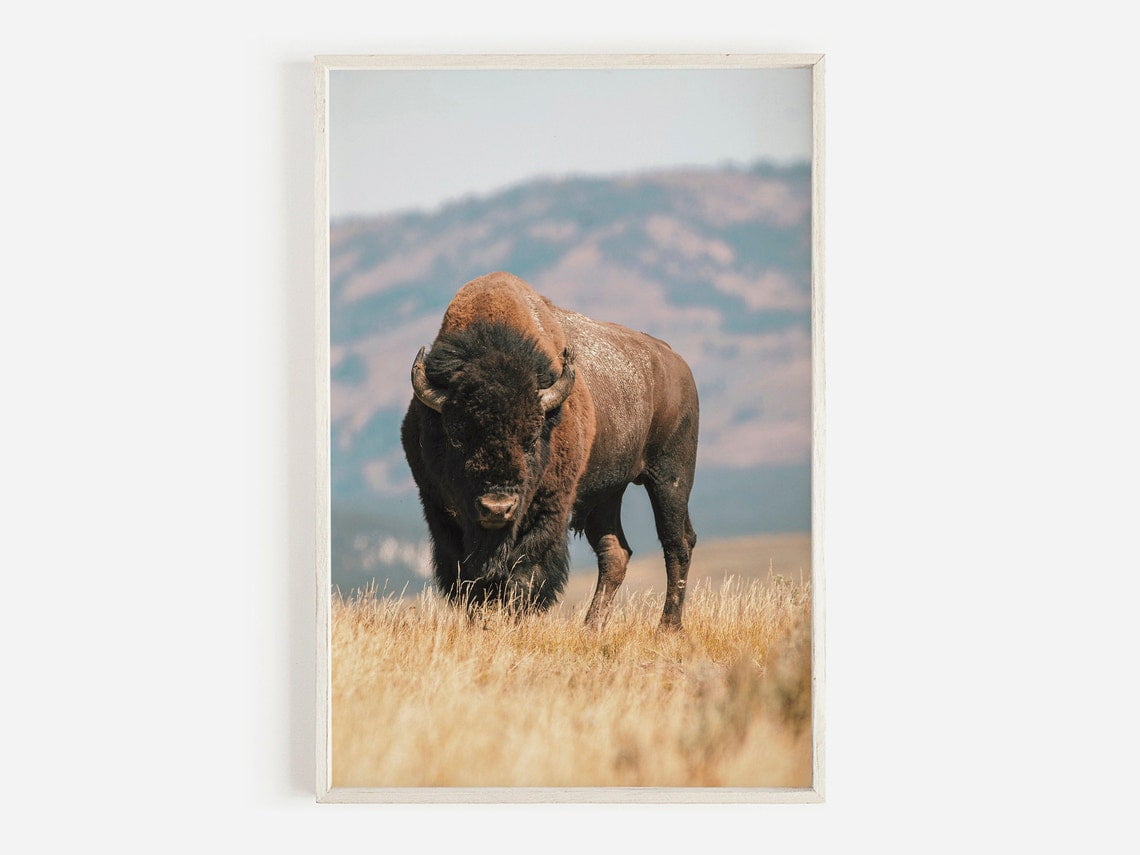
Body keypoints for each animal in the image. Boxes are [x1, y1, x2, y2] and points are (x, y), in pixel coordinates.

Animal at [401, 272, 699, 630]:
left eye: (531, 440)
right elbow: (466, 577)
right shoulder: (438, 507)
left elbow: (525, 571)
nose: (497, 508)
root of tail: (675, 362)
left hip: (670, 477)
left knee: (677, 543)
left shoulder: (549, 507)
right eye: (457, 439)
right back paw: (590, 627)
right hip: (605, 494)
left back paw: (668, 627)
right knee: (615, 553)